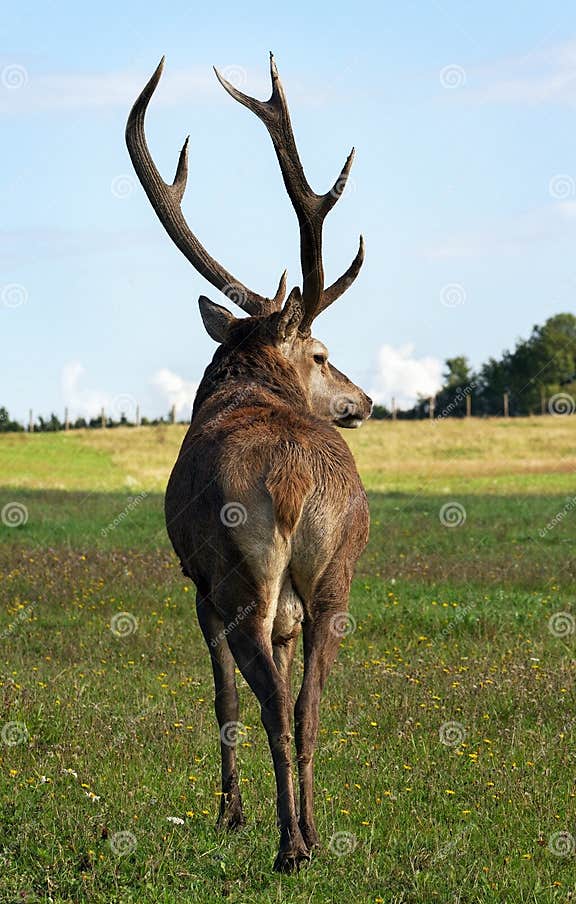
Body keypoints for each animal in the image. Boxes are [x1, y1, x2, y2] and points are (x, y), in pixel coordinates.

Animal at [126, 53, 372, 873]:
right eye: (323, 355)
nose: (364, 400)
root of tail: (295, 483)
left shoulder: (197, 582)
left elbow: (223, 698)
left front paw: (228, 814)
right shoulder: (293, 608)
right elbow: (293, 698)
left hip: (238, 578)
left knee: (260, 698)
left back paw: (285, 844)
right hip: (334, 578)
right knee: (306, 707)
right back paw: (313, 836)